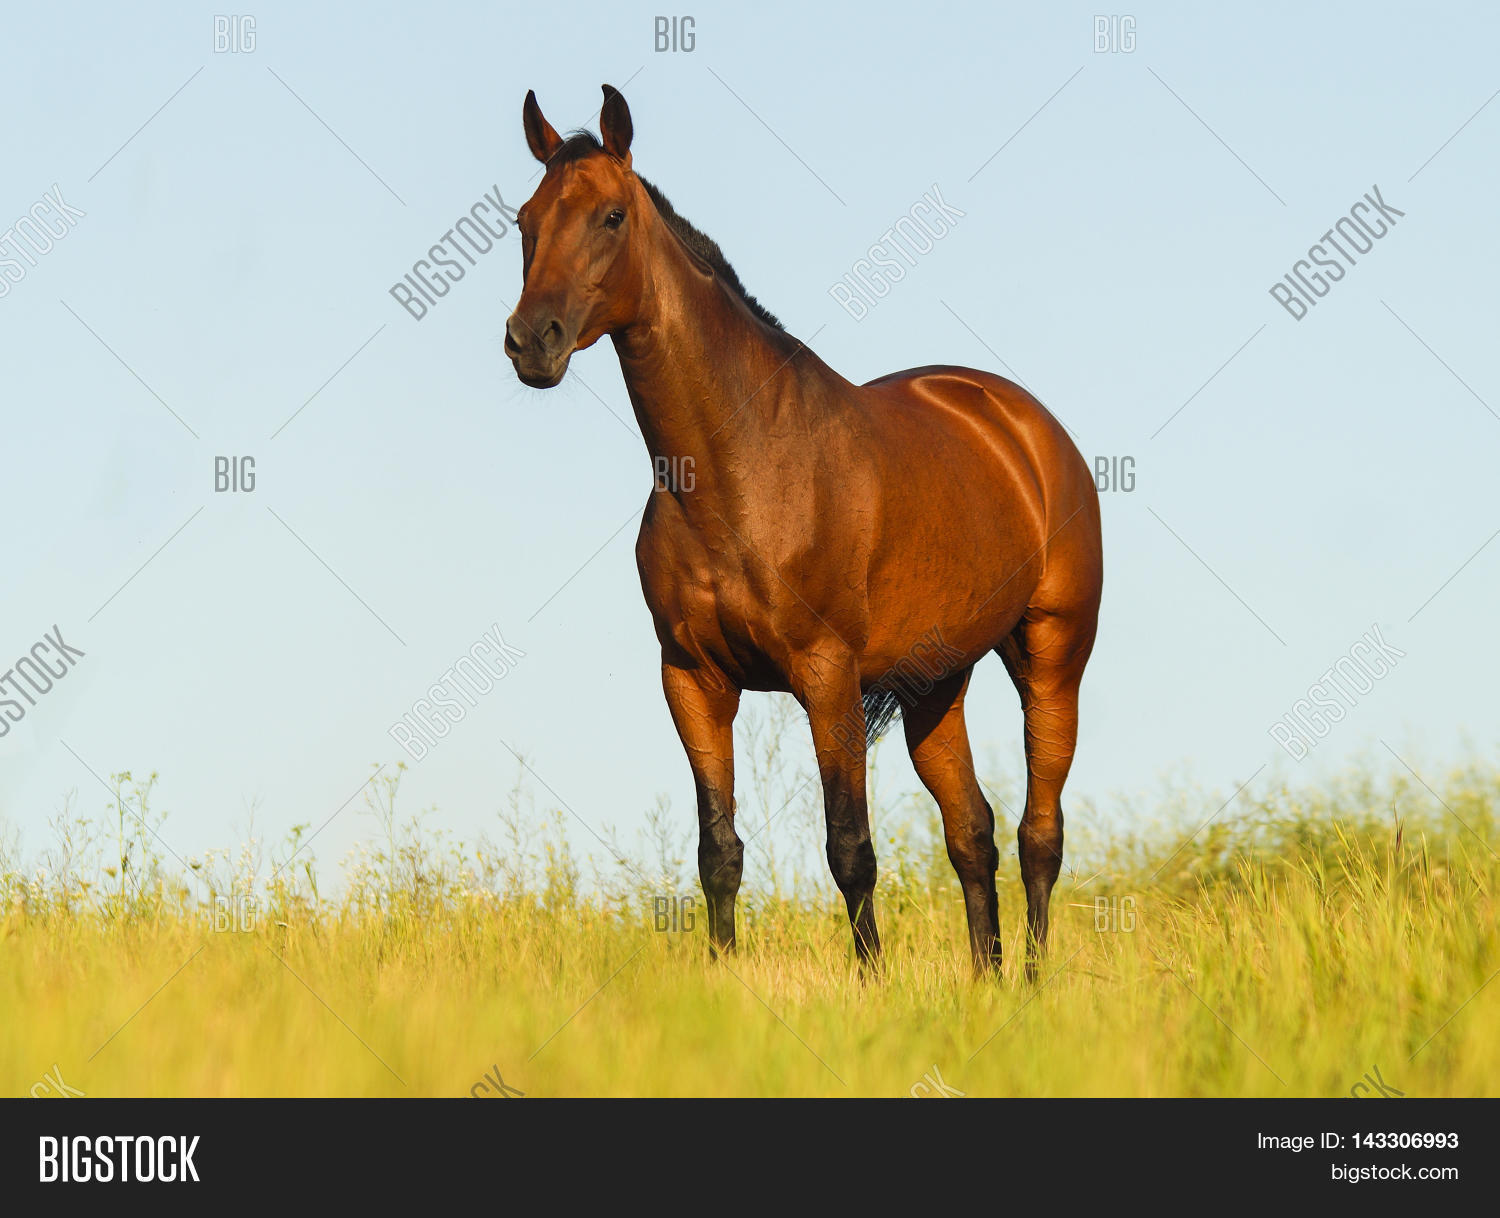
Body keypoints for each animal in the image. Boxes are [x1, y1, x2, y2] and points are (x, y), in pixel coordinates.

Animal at [505, 85, 1102, 979]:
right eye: (524, 220)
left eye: (611, 216)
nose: (529, 342)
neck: (740, 466)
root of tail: (1022, 424)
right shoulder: (692, 680)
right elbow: (718, 850)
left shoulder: (827, 677)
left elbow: (850, 847)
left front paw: (873, 983)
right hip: (936, 687)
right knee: (974, 833)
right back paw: (988, 979)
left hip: (1051, 656)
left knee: (1040, 832)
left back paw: (1031, 983)